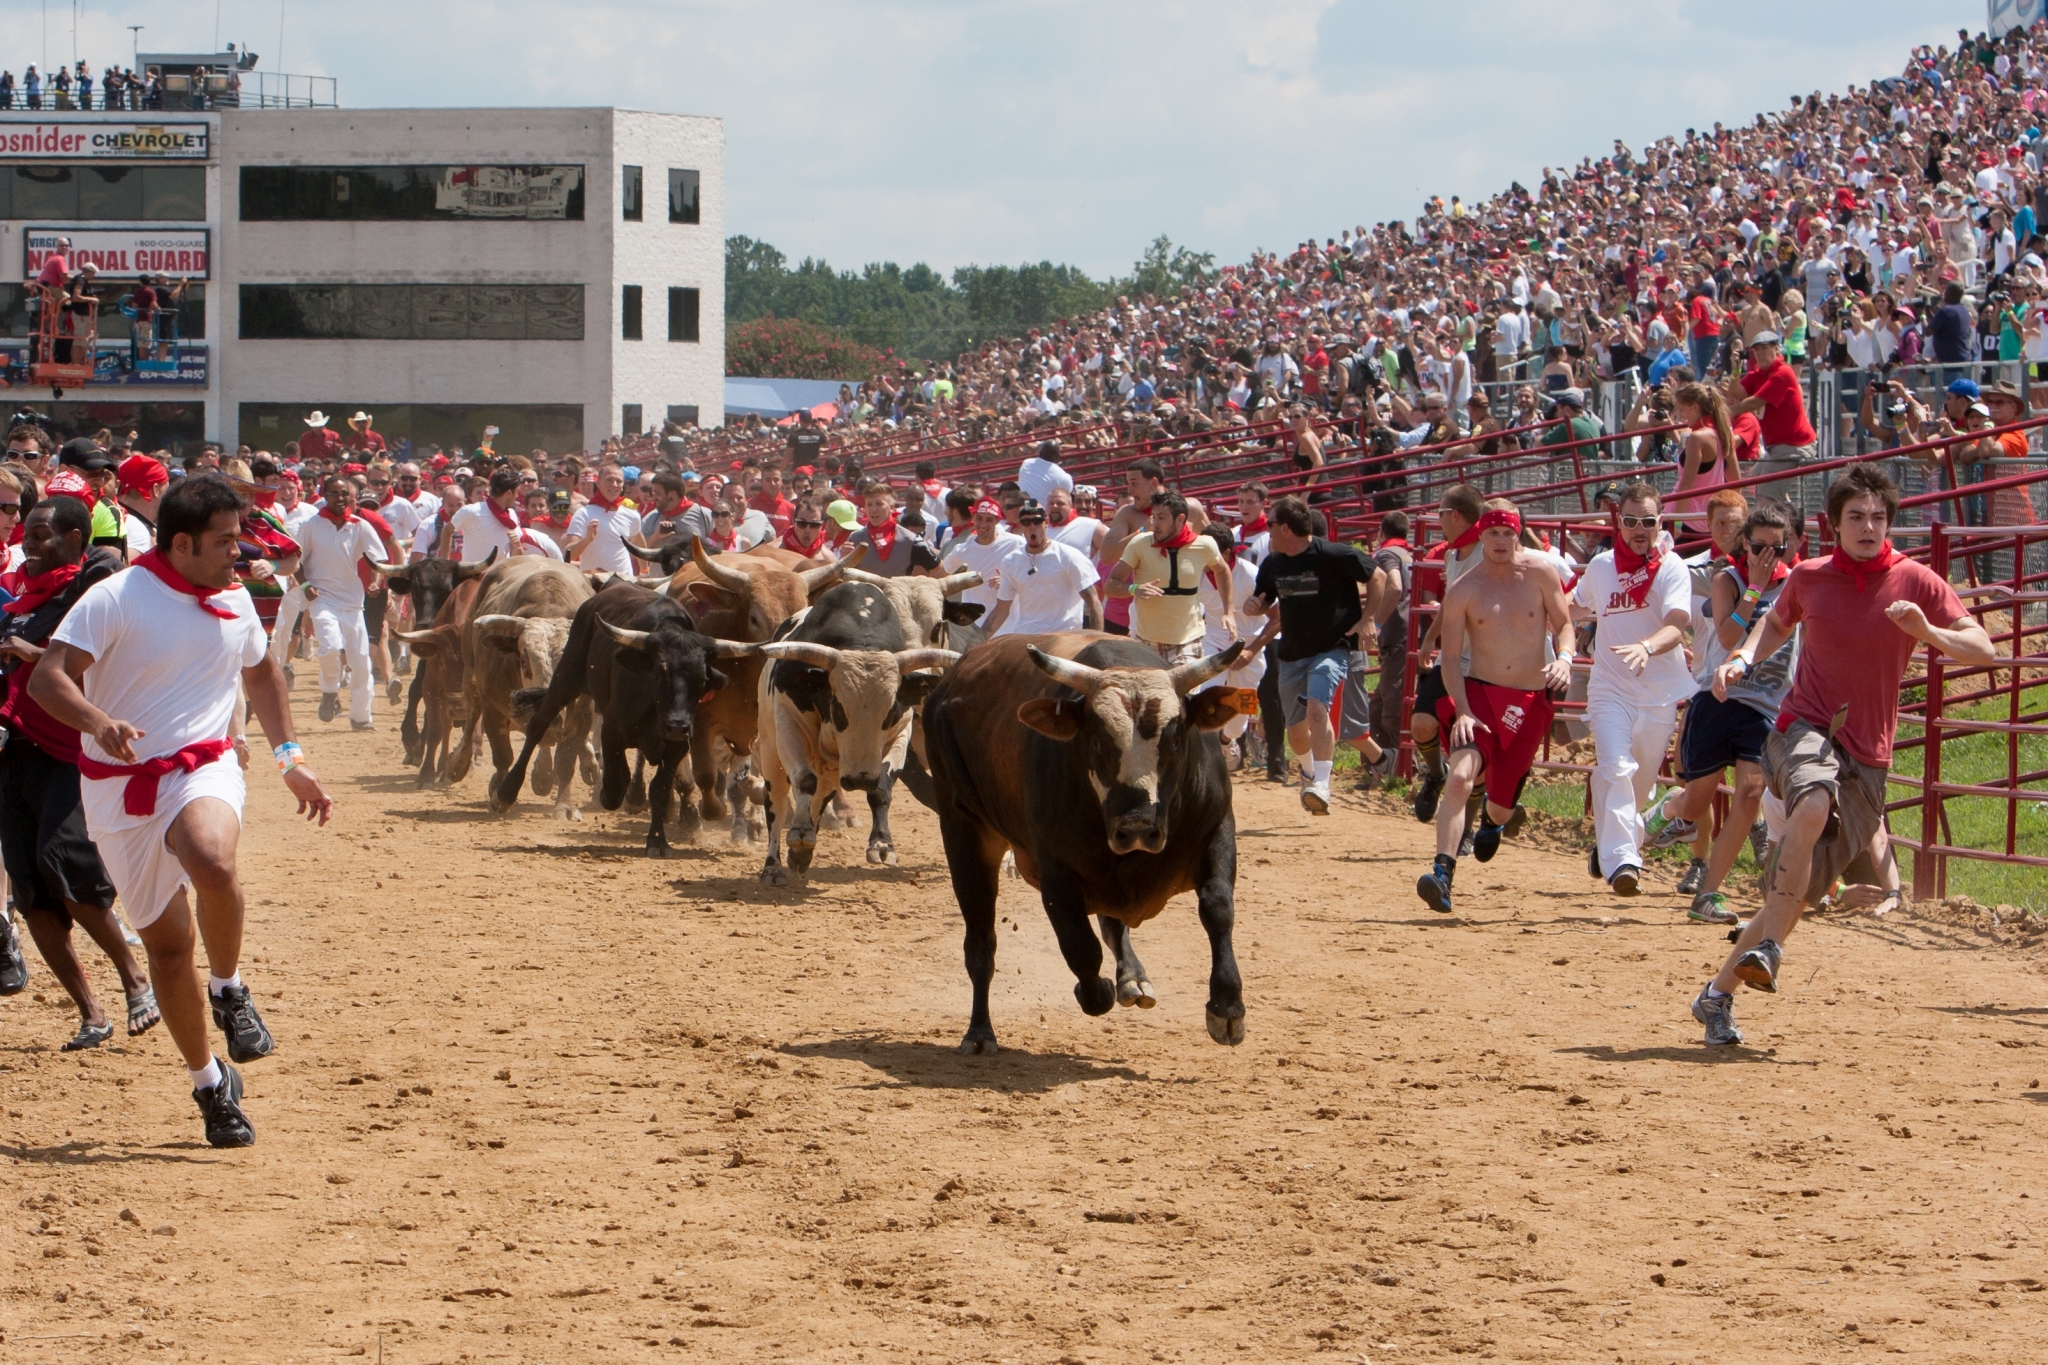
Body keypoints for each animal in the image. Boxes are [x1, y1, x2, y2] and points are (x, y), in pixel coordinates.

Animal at [388, 574, 484, 787]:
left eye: (475, 664)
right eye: (441, 662)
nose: (459, 707)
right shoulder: (431, 687)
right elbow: (435, 729)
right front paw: (427, 774)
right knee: (446, 726)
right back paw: (442, 768)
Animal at [445, 557, 595, 819]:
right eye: (524, 661)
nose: (552, 714)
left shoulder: (583, 713)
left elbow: (566, 761)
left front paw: (565, 806)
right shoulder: (493, 709)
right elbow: (503, 755)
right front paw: (499, 793)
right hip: (470, 675)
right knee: (472, 715)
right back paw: (459, 763)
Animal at [491, 583, 755, 857]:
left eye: (702, 680)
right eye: (658, 673)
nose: (677, 726)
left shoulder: (677, 747)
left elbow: (659, 790)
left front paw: (657, 840)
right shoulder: (611, 729)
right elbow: (615, 785)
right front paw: (614, 795)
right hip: (567, 675)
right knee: (538, 724)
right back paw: (505, 792)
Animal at [753, 581, 958, 884]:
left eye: (890, 710)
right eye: (838, 707)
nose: (860, 778)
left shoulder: (901, 732)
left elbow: (881, 788)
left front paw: (882, 845)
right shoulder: (789, 725)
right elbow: (803, 781)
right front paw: (798, 833)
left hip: (830, 768)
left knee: (821, 796)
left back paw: (802, 853)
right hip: (770, 749)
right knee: (777, 802)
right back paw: (774, 865)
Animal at [921, 633, 1253, 1054]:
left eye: (1176, 741)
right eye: (1096, 741)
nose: (1137, 826)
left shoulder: (1217, 829)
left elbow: (1217, 908)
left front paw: (1227, 1007)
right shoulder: (1056, 873)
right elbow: (1080, 945)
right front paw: (1095, 992)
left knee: (1113, 925)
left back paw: (1133, 976)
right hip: (964, 830)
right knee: (981, 941)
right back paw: (980, 1032)